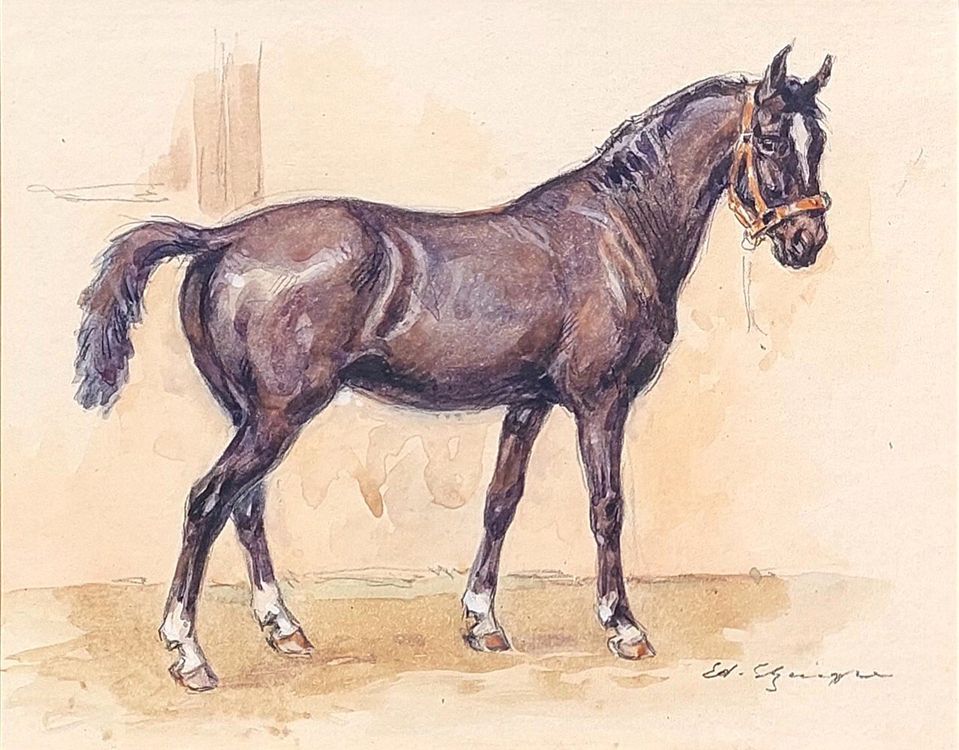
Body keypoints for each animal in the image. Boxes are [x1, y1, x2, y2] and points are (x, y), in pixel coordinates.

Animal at [74, 45, 833, 691]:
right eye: (770, 139)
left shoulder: (527, 403)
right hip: (276, 416)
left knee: (246, 506)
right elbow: (606, 507)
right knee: (208, 501)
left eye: (817, 140)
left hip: (252, 415)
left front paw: (481, 620)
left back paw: (283, 630)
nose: (806, 240)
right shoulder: (600, 402)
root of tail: (221, 237)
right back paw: (188, 653)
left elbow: (500, 503)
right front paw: (623, 628)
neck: (617, 230)